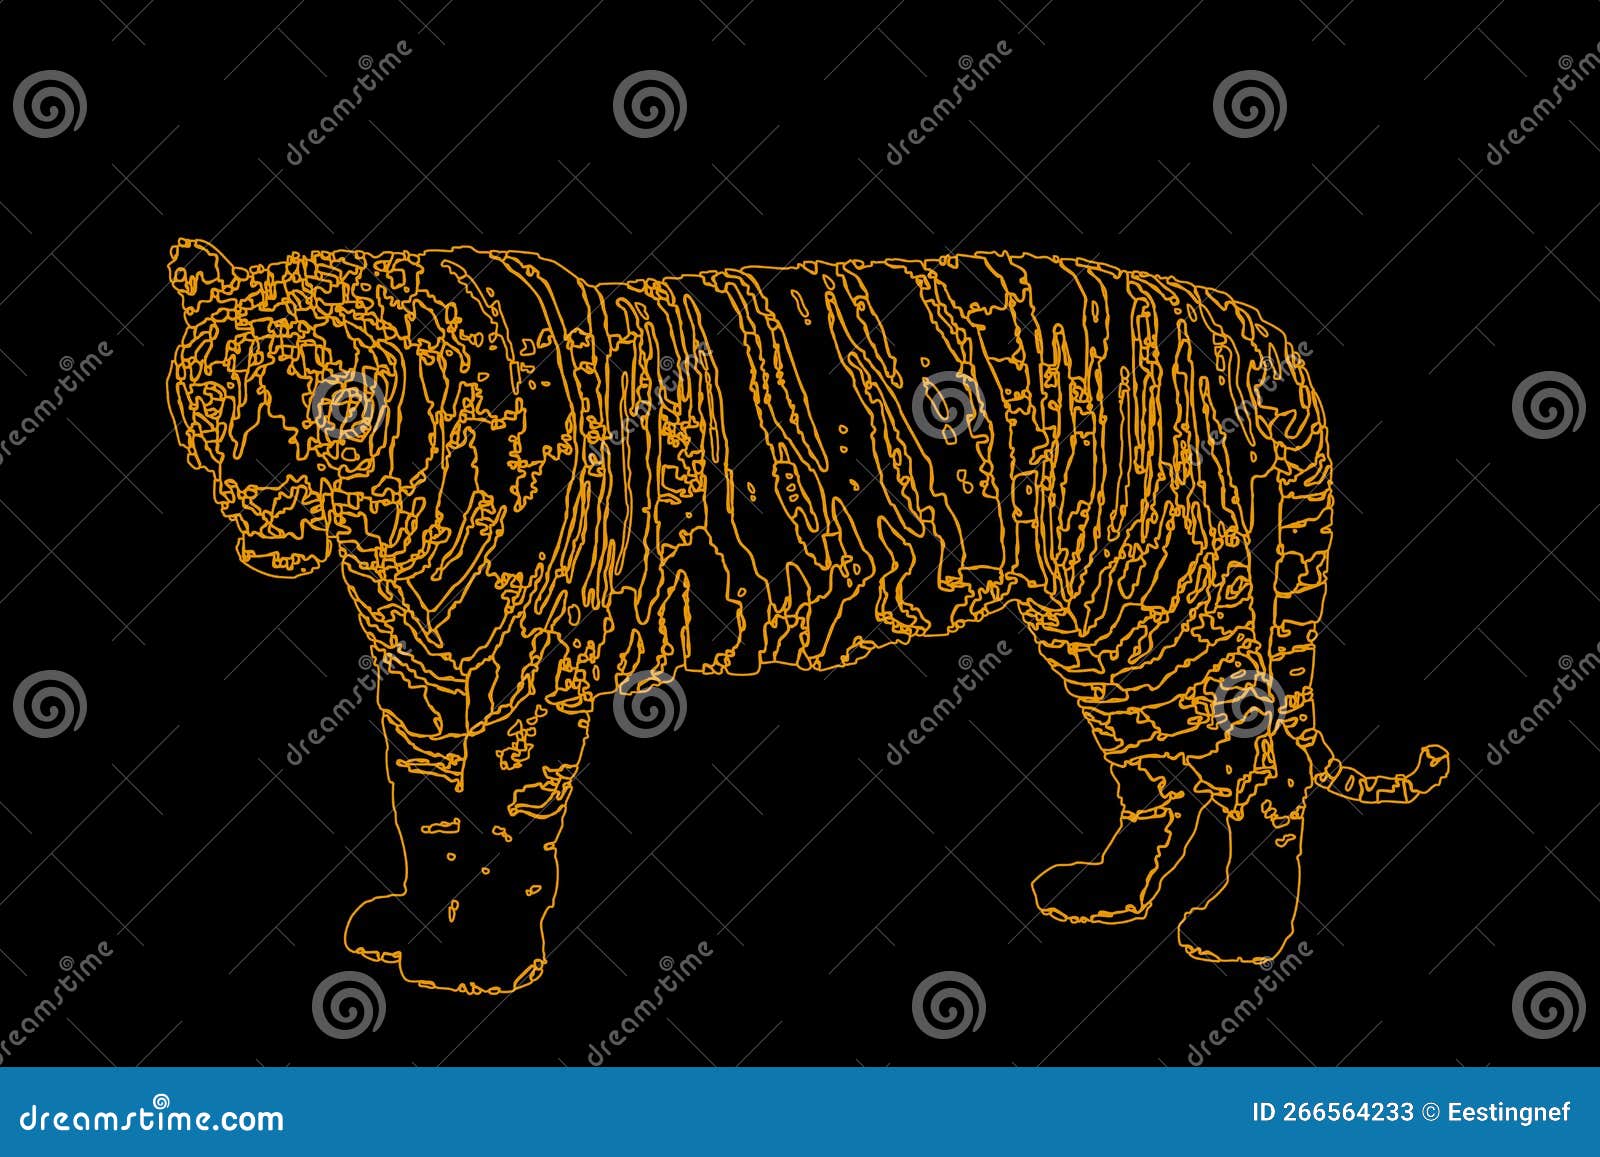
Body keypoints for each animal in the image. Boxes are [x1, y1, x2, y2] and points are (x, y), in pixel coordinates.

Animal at [165, 239, 1449, 995]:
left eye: (330, 394)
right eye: (224, 380)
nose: (260, 483)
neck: (387, 533)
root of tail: (1232, 317)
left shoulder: (532, 670)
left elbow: (507, 820)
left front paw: (478, 955)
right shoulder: (424, 674)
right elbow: (427, 808)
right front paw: (414, 920)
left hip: (1162, 600)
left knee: (1262, 760)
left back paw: (1242, 933)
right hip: (1096, 624)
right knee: (1158, 768)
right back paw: (1106, 894)